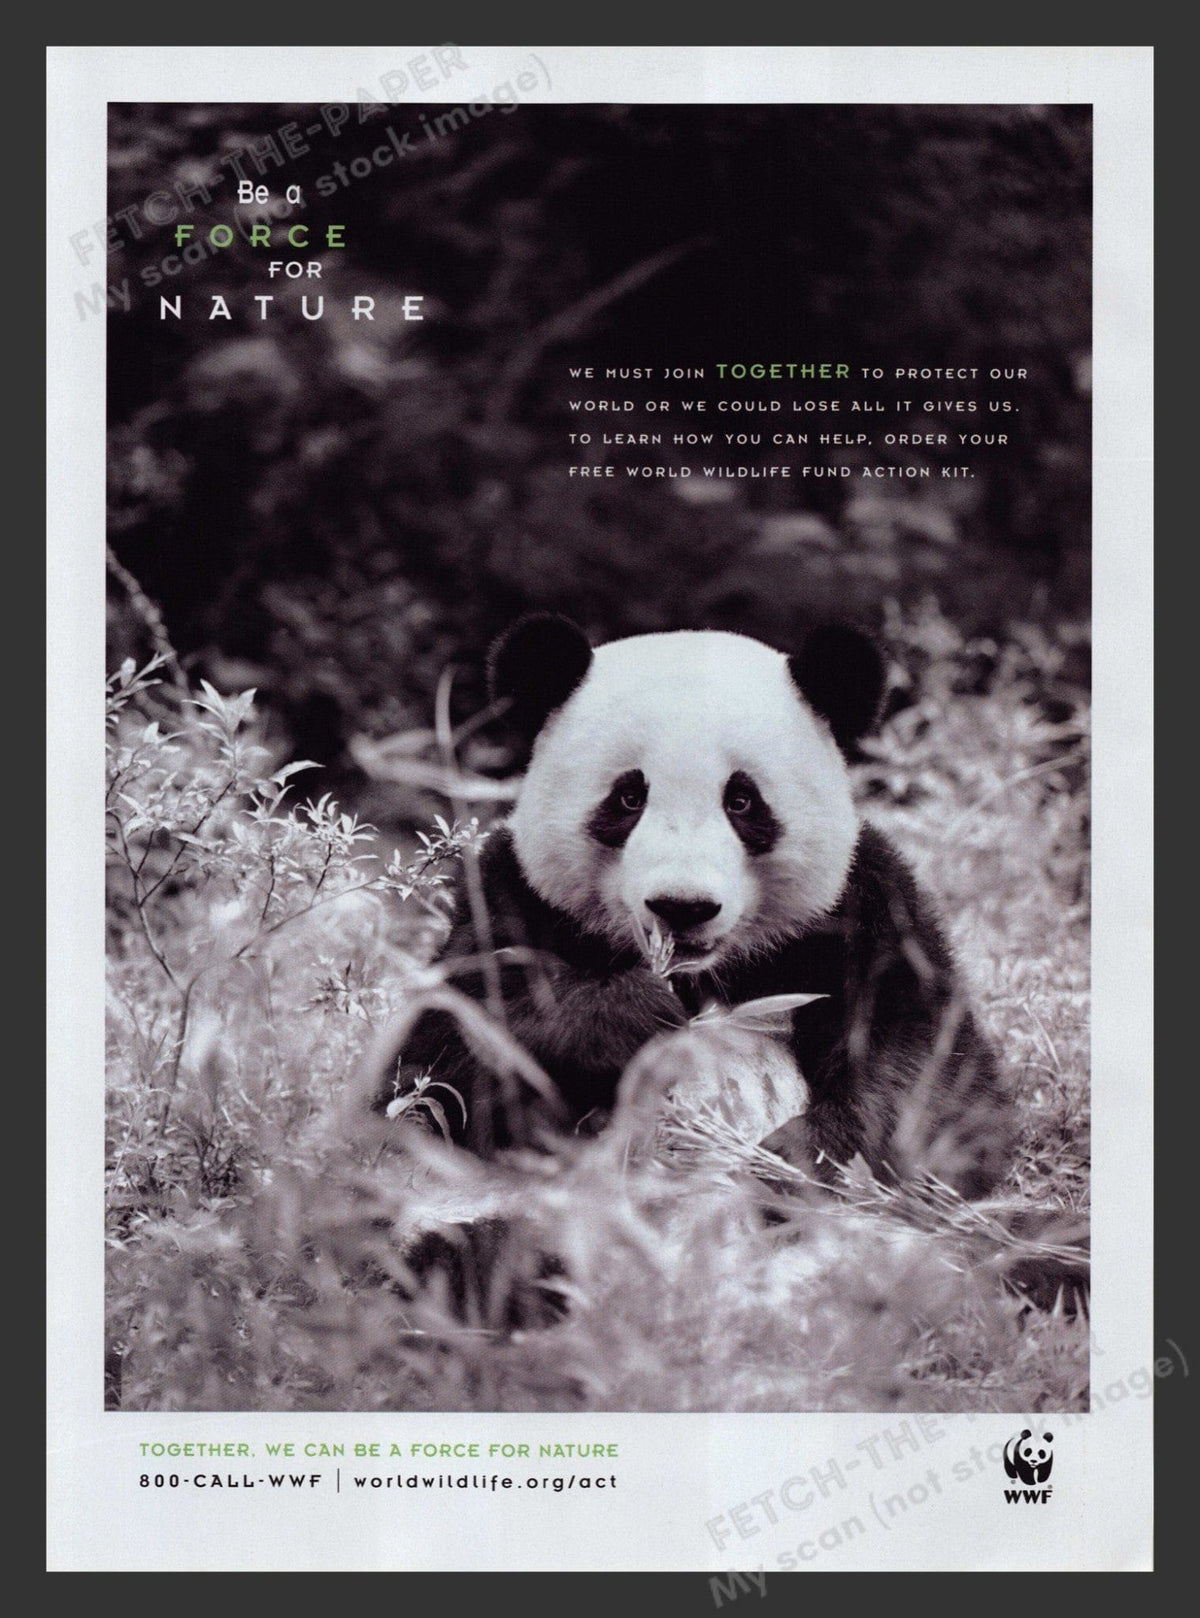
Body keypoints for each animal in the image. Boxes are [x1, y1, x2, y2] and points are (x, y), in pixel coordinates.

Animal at [378, 613, 1015, 1201]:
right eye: (629, 797)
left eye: (742, 801)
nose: (682, 907)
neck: (700, 976)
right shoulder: (513, 898)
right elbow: (440, 1060)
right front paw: (630, 1013)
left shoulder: (866, 910)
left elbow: (929, 1074)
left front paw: (791, 1165)